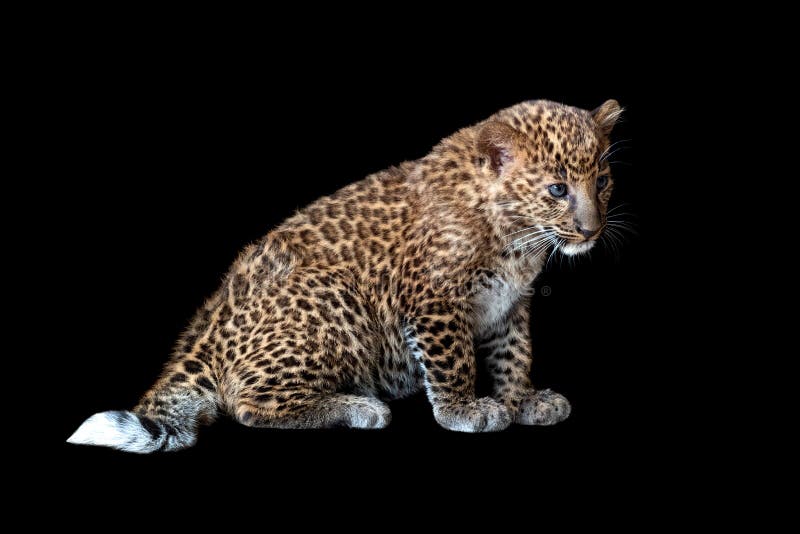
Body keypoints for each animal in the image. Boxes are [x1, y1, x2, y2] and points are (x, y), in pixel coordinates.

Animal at [67, 99, 623, 453]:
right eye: (556, 189)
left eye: (602, 181)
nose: (591, 229)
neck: (515, 239)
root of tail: (204, 333)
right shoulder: (433, 301)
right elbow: (454, 362)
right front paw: (466, 410)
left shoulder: (509, 304)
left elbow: (514, 355)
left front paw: (521, 400)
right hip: (334, 297)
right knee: (247, 403)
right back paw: (360, 408)